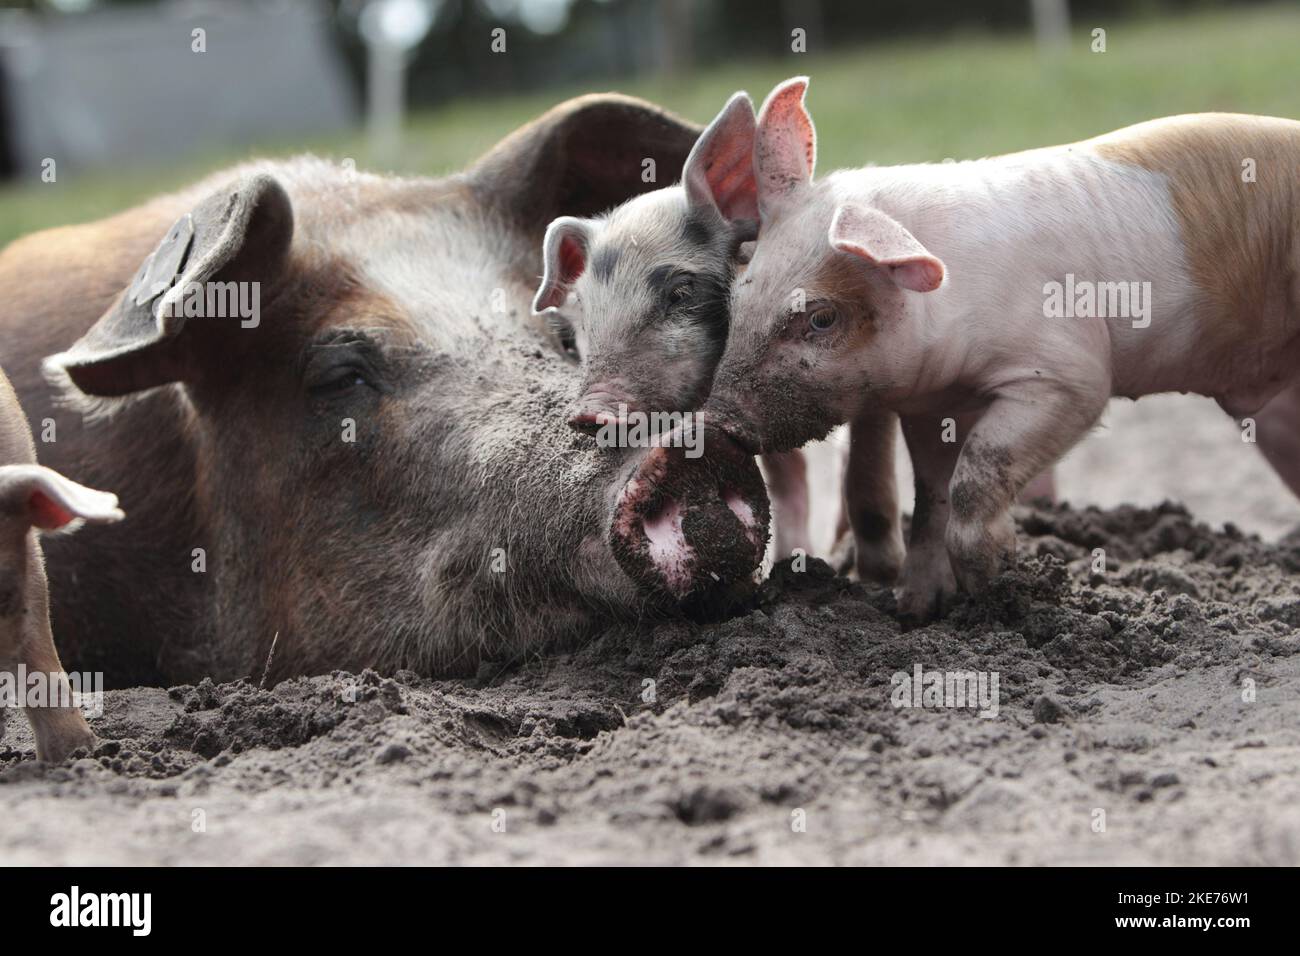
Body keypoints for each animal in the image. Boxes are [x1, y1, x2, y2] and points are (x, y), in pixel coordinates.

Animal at [703, 76, 1300, 621]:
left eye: (822, 318)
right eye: (740, 295)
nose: (718, 421)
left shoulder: (1066, 375)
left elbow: (976, 476)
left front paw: (997, 588)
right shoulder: (932, 406)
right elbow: (932, 497)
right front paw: (918, 610)